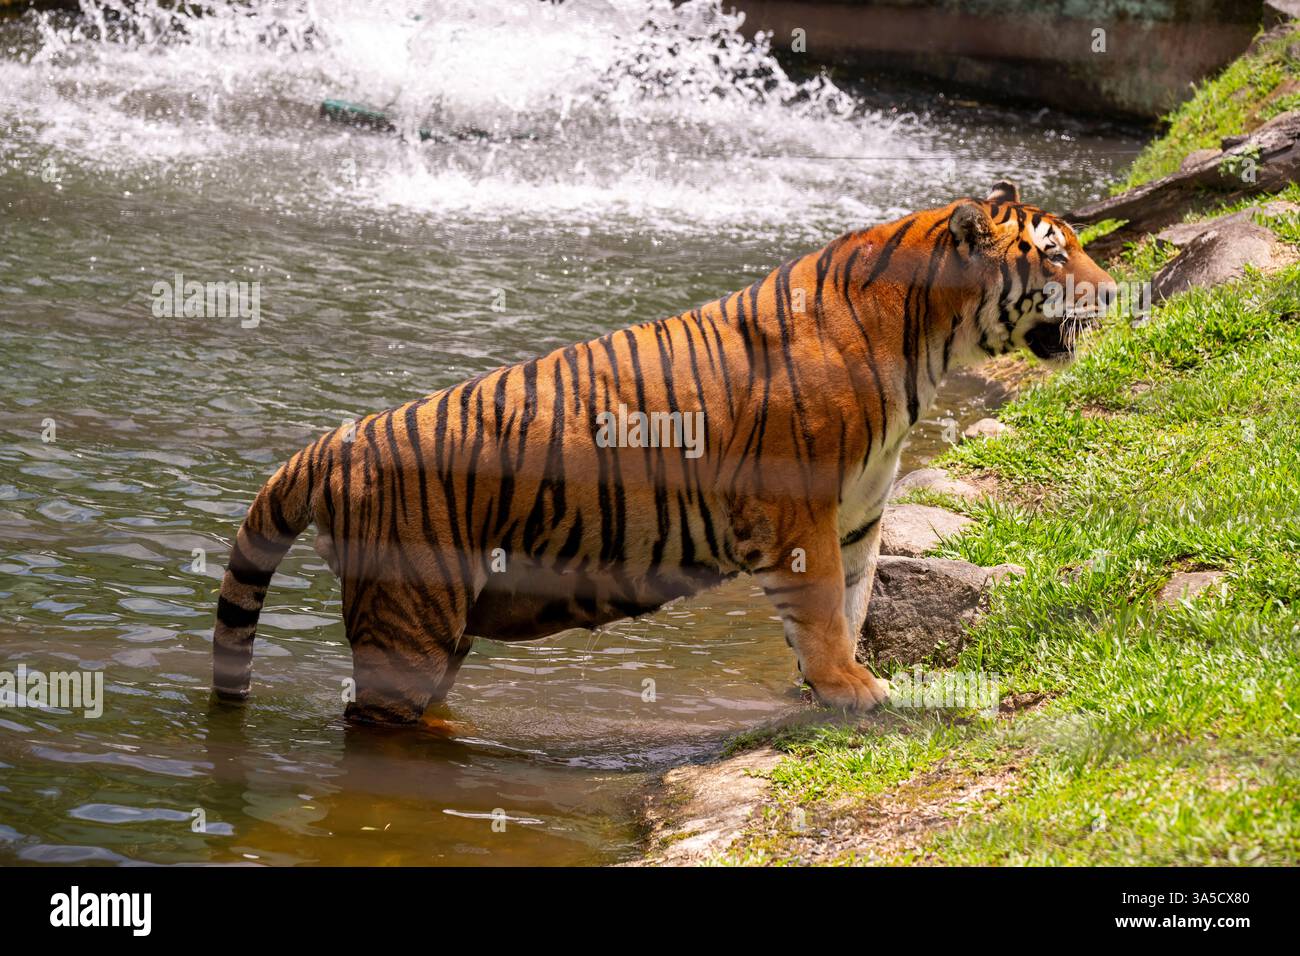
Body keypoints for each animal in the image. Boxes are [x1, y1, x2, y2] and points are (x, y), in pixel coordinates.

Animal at [212, 181, 1114, 724]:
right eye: (1055, 251)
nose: (1113, 292)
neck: (927, 339)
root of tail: (335, 443)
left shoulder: (859, 514)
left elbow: (855, 601)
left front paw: (839, 686)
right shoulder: (798, 512)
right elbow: (826, 606)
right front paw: (851, 690)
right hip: (410, 616)